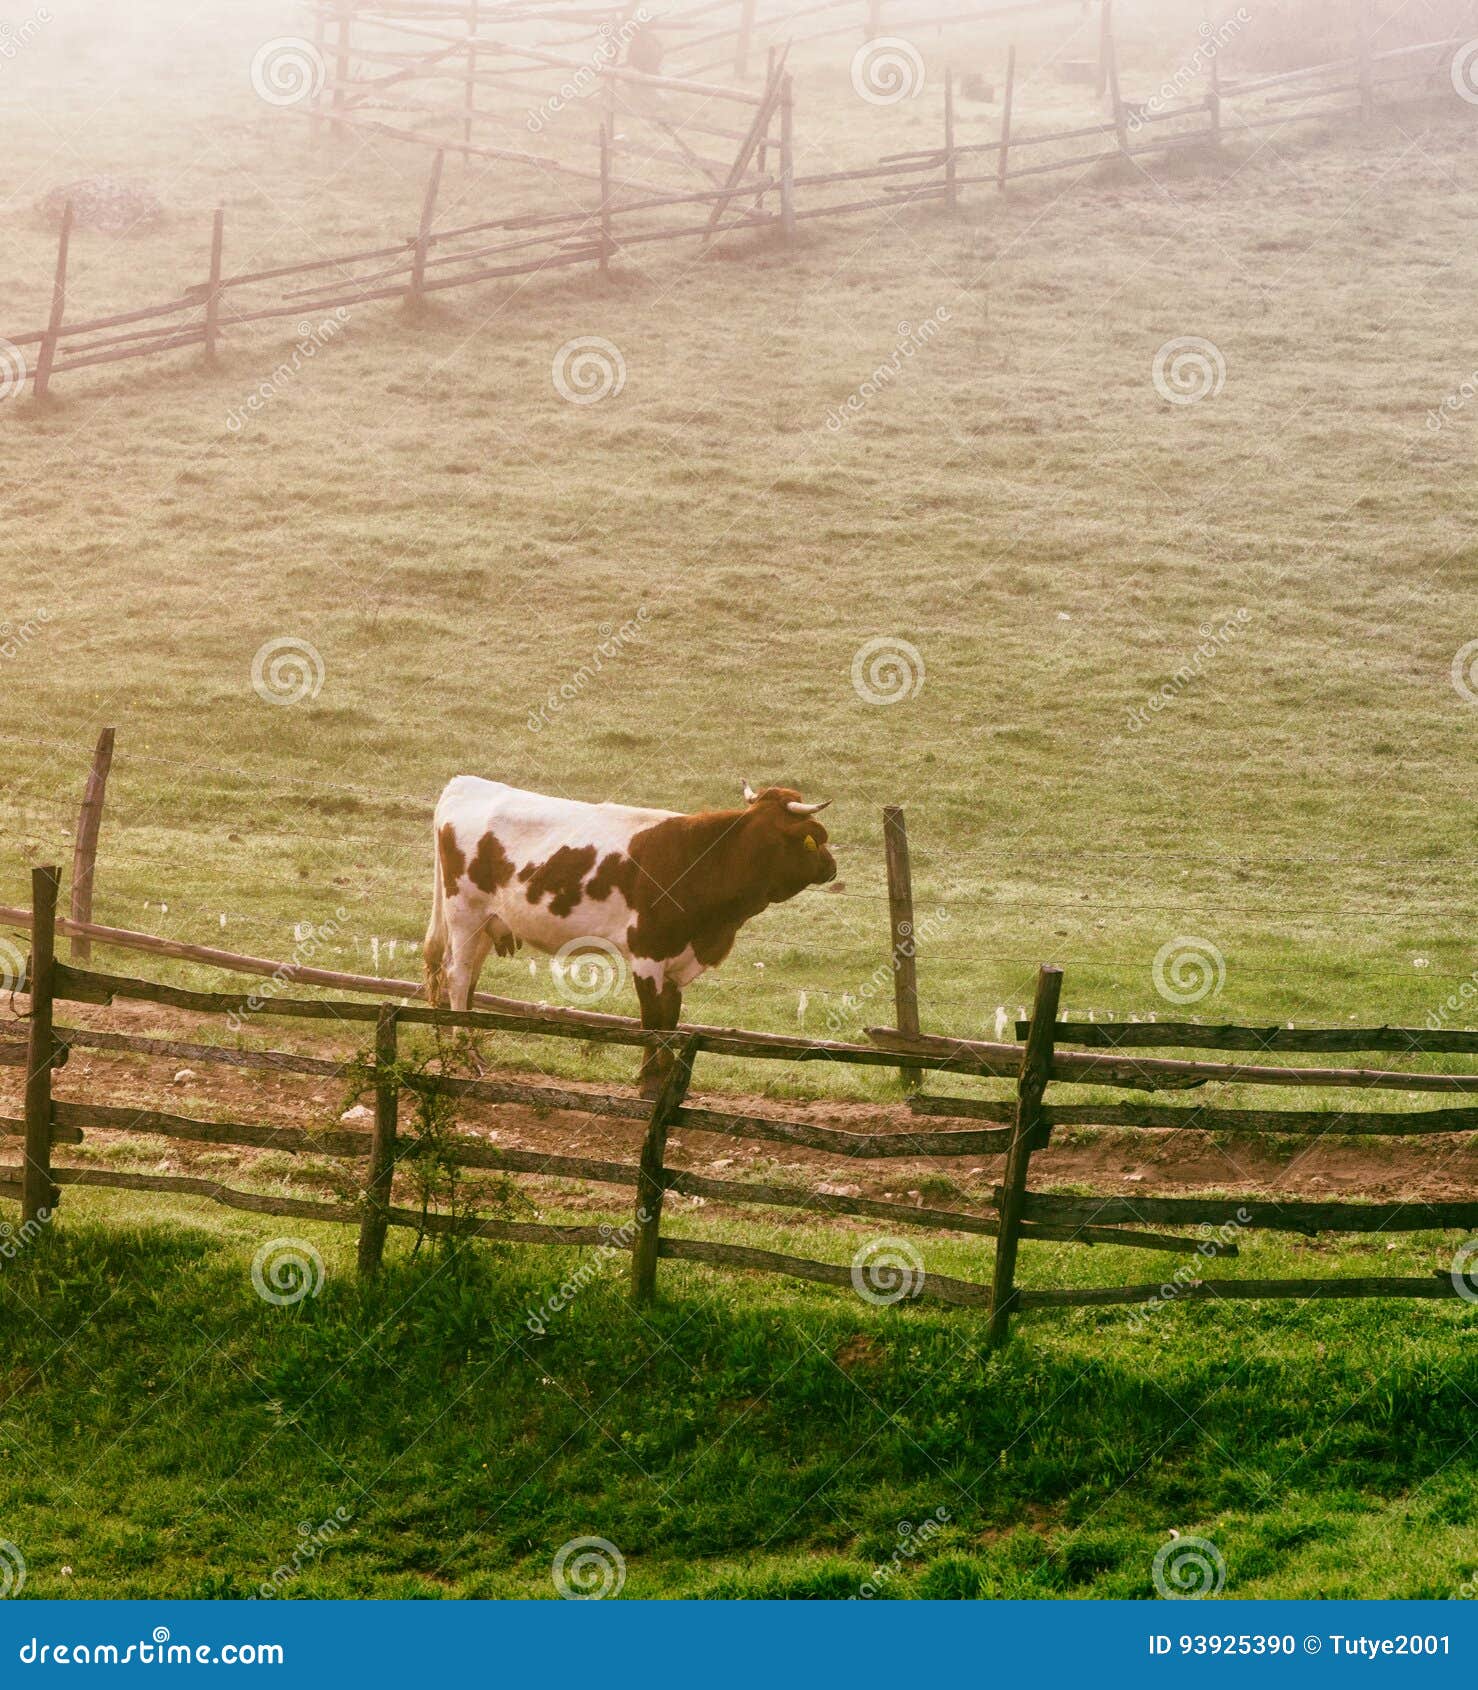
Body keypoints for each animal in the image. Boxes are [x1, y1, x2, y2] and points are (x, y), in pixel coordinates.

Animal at [423, 776, 837, 1093]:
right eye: (817, 837)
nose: (833, 866)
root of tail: (465, 784)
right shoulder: (647, 953)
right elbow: (651, 1020)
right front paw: (650, 1082)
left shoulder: (676, 961)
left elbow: (670, 1020)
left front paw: (662, 1079)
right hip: (465, 915)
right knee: (457, 977)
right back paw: (466, 1053)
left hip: (487, 925)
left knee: (467, 981)